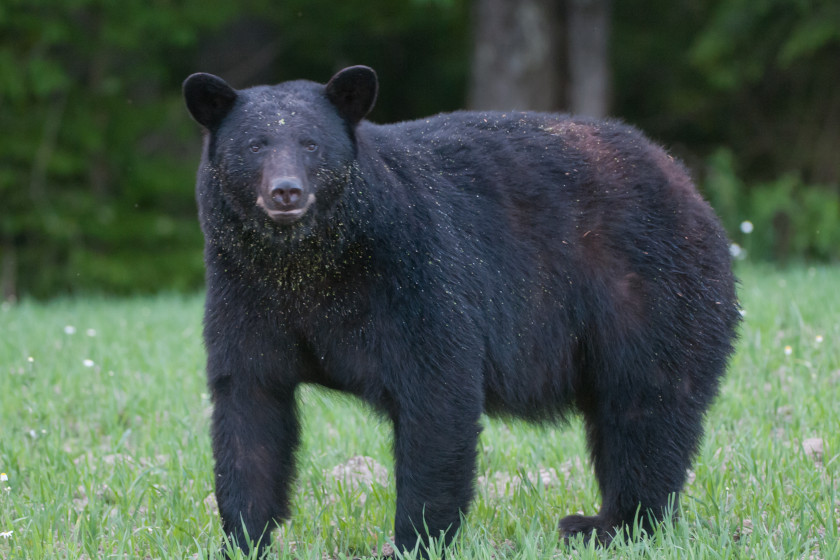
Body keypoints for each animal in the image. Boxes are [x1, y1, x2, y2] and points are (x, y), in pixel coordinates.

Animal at [183, 65, 740, 558]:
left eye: (310, 144)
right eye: (255, 145)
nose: (286, 191)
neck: (307, 264)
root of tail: (684, 180)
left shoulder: (414, 273)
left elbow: (437, 393)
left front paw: (416, 542)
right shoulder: (247, 295)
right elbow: (250, 408)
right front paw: (241, 540)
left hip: (650, 292)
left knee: (646, 409)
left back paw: (616, 525)